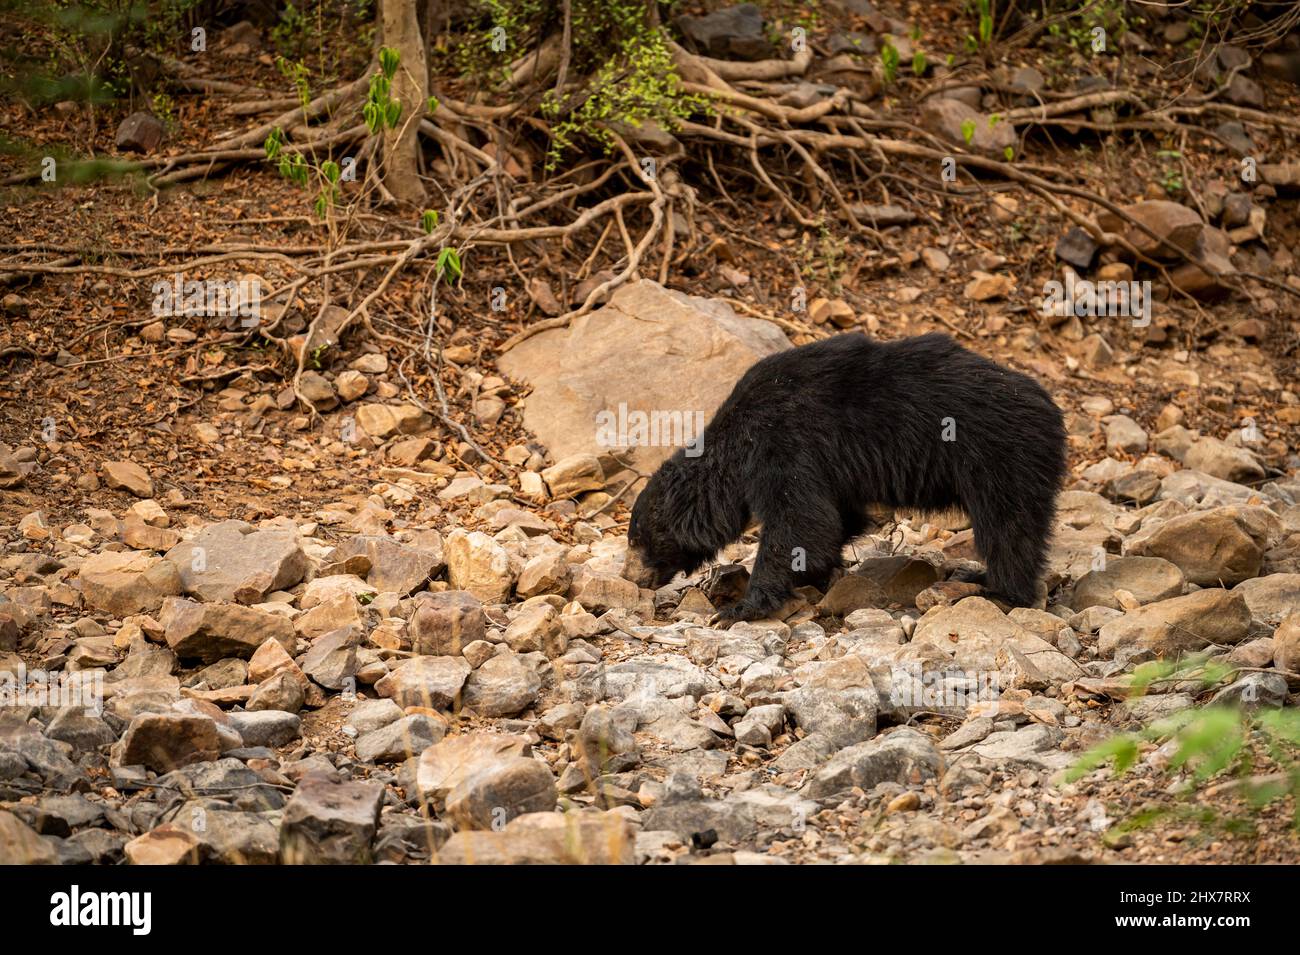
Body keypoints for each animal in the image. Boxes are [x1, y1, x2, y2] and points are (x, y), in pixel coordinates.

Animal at [628, 332, 1067, 622]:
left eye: (638, 541)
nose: (635, 579)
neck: (736, 442)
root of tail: (1052, 409)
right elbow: (835, 519)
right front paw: (822, 573)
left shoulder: (783, 444)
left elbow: (799, 520)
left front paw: (738, 609)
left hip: (1000, 457)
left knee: (1008, 528)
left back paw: (996, 588)